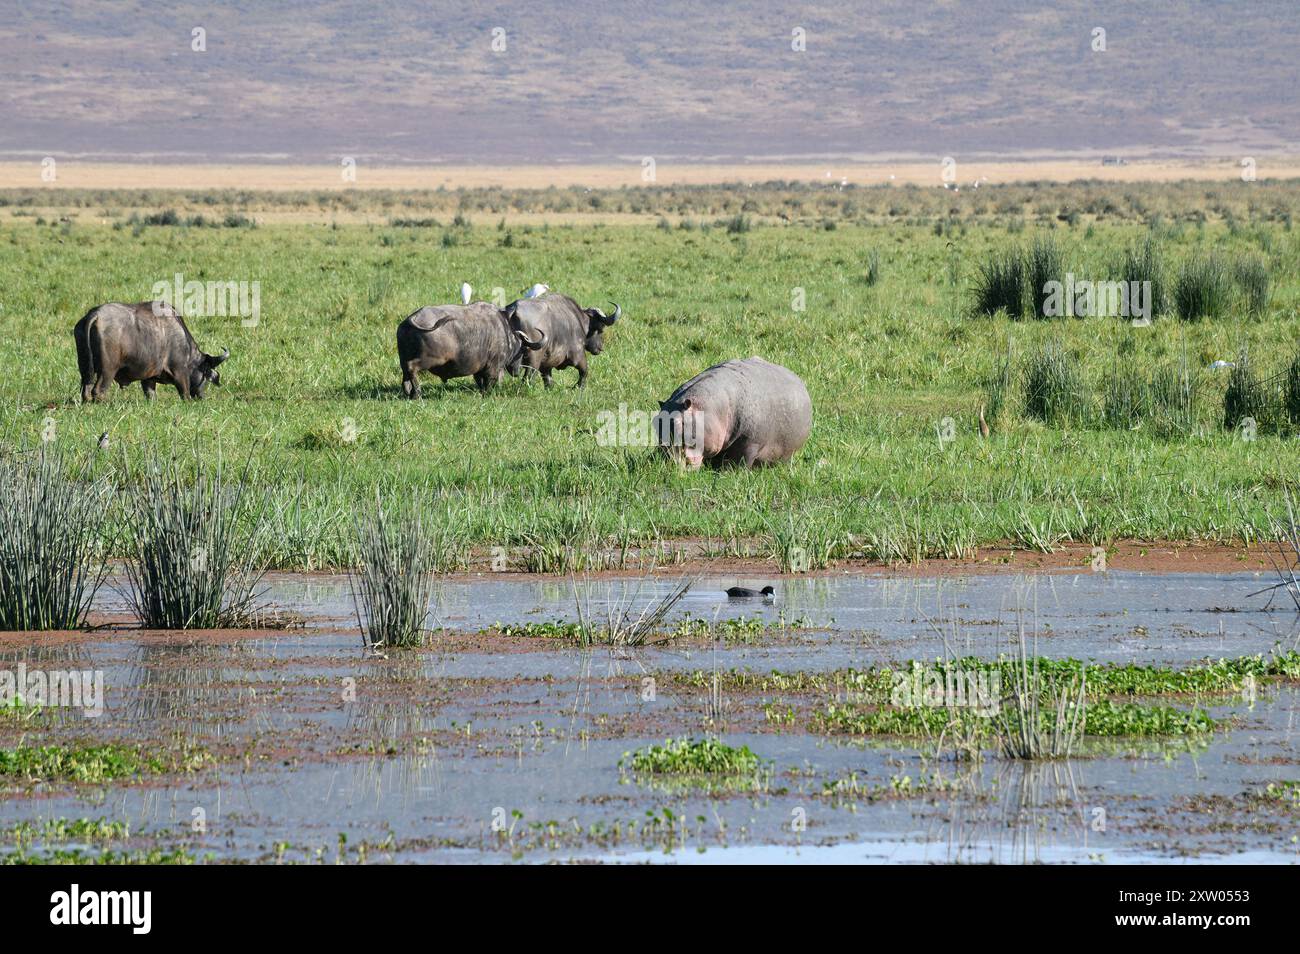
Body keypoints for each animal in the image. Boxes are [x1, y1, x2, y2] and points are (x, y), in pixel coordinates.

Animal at [73, 301, 228, 402]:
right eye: (206, 373)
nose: (201, 397)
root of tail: (95, 315)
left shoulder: (148, 377)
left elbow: (150, 394)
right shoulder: (180, 371)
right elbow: (184, 393)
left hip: (85, 368)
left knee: (86, 389)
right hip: (108, 370)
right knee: (98, 390)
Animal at [397, 301, 544, 397]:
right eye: (522, 351)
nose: (517, 371)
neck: (504, 330)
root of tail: (412, 318)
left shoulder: (479, 369)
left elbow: (481, 382)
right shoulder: (493, 367)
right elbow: (490, 382)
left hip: (403, 357)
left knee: (405, 373)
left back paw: (408, 392)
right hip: (432, 359)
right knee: (411, 367)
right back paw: (417, 393)